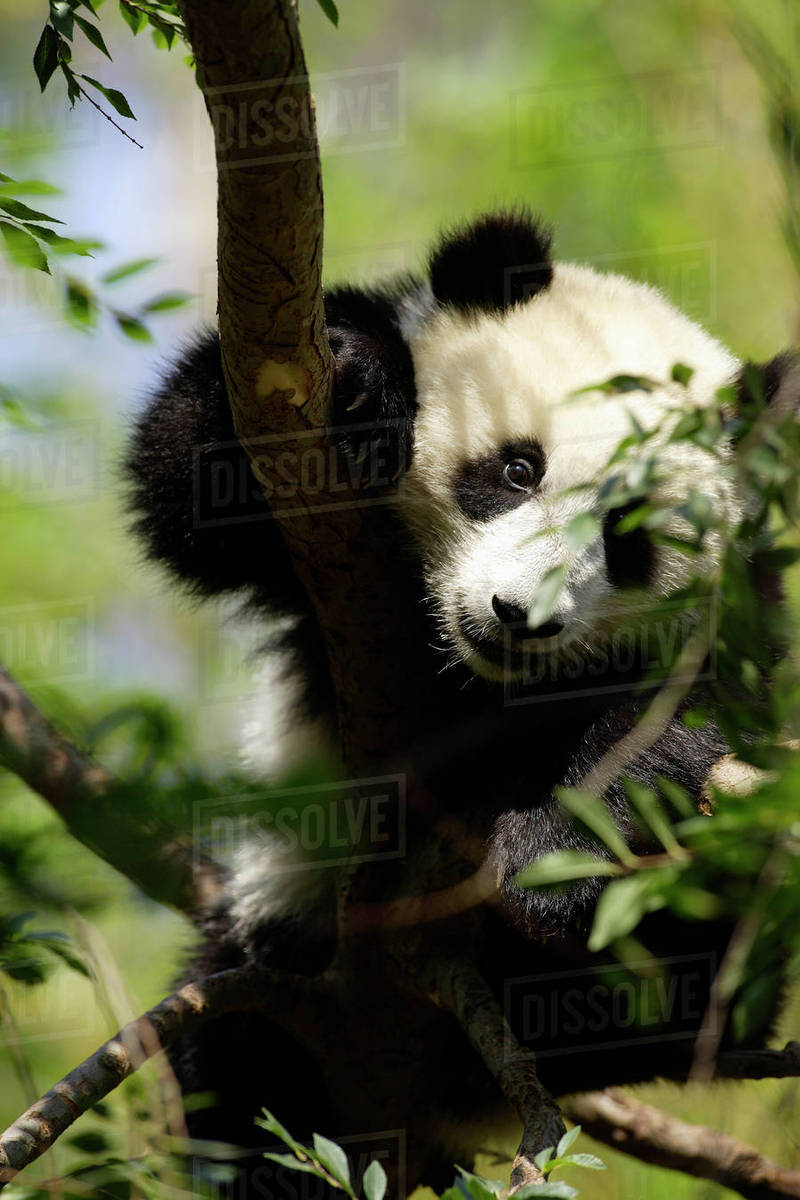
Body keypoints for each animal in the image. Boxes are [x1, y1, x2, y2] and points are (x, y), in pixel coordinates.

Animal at [125, 210, 794, 1196]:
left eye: (627, 535)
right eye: (516, 470)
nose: (520, 616)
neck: (475, 682)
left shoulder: (740, 610)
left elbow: (703, 716)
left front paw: (554, 846)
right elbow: (181, 483)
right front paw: (360, 374)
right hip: (281, 940)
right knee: (237, 1061)